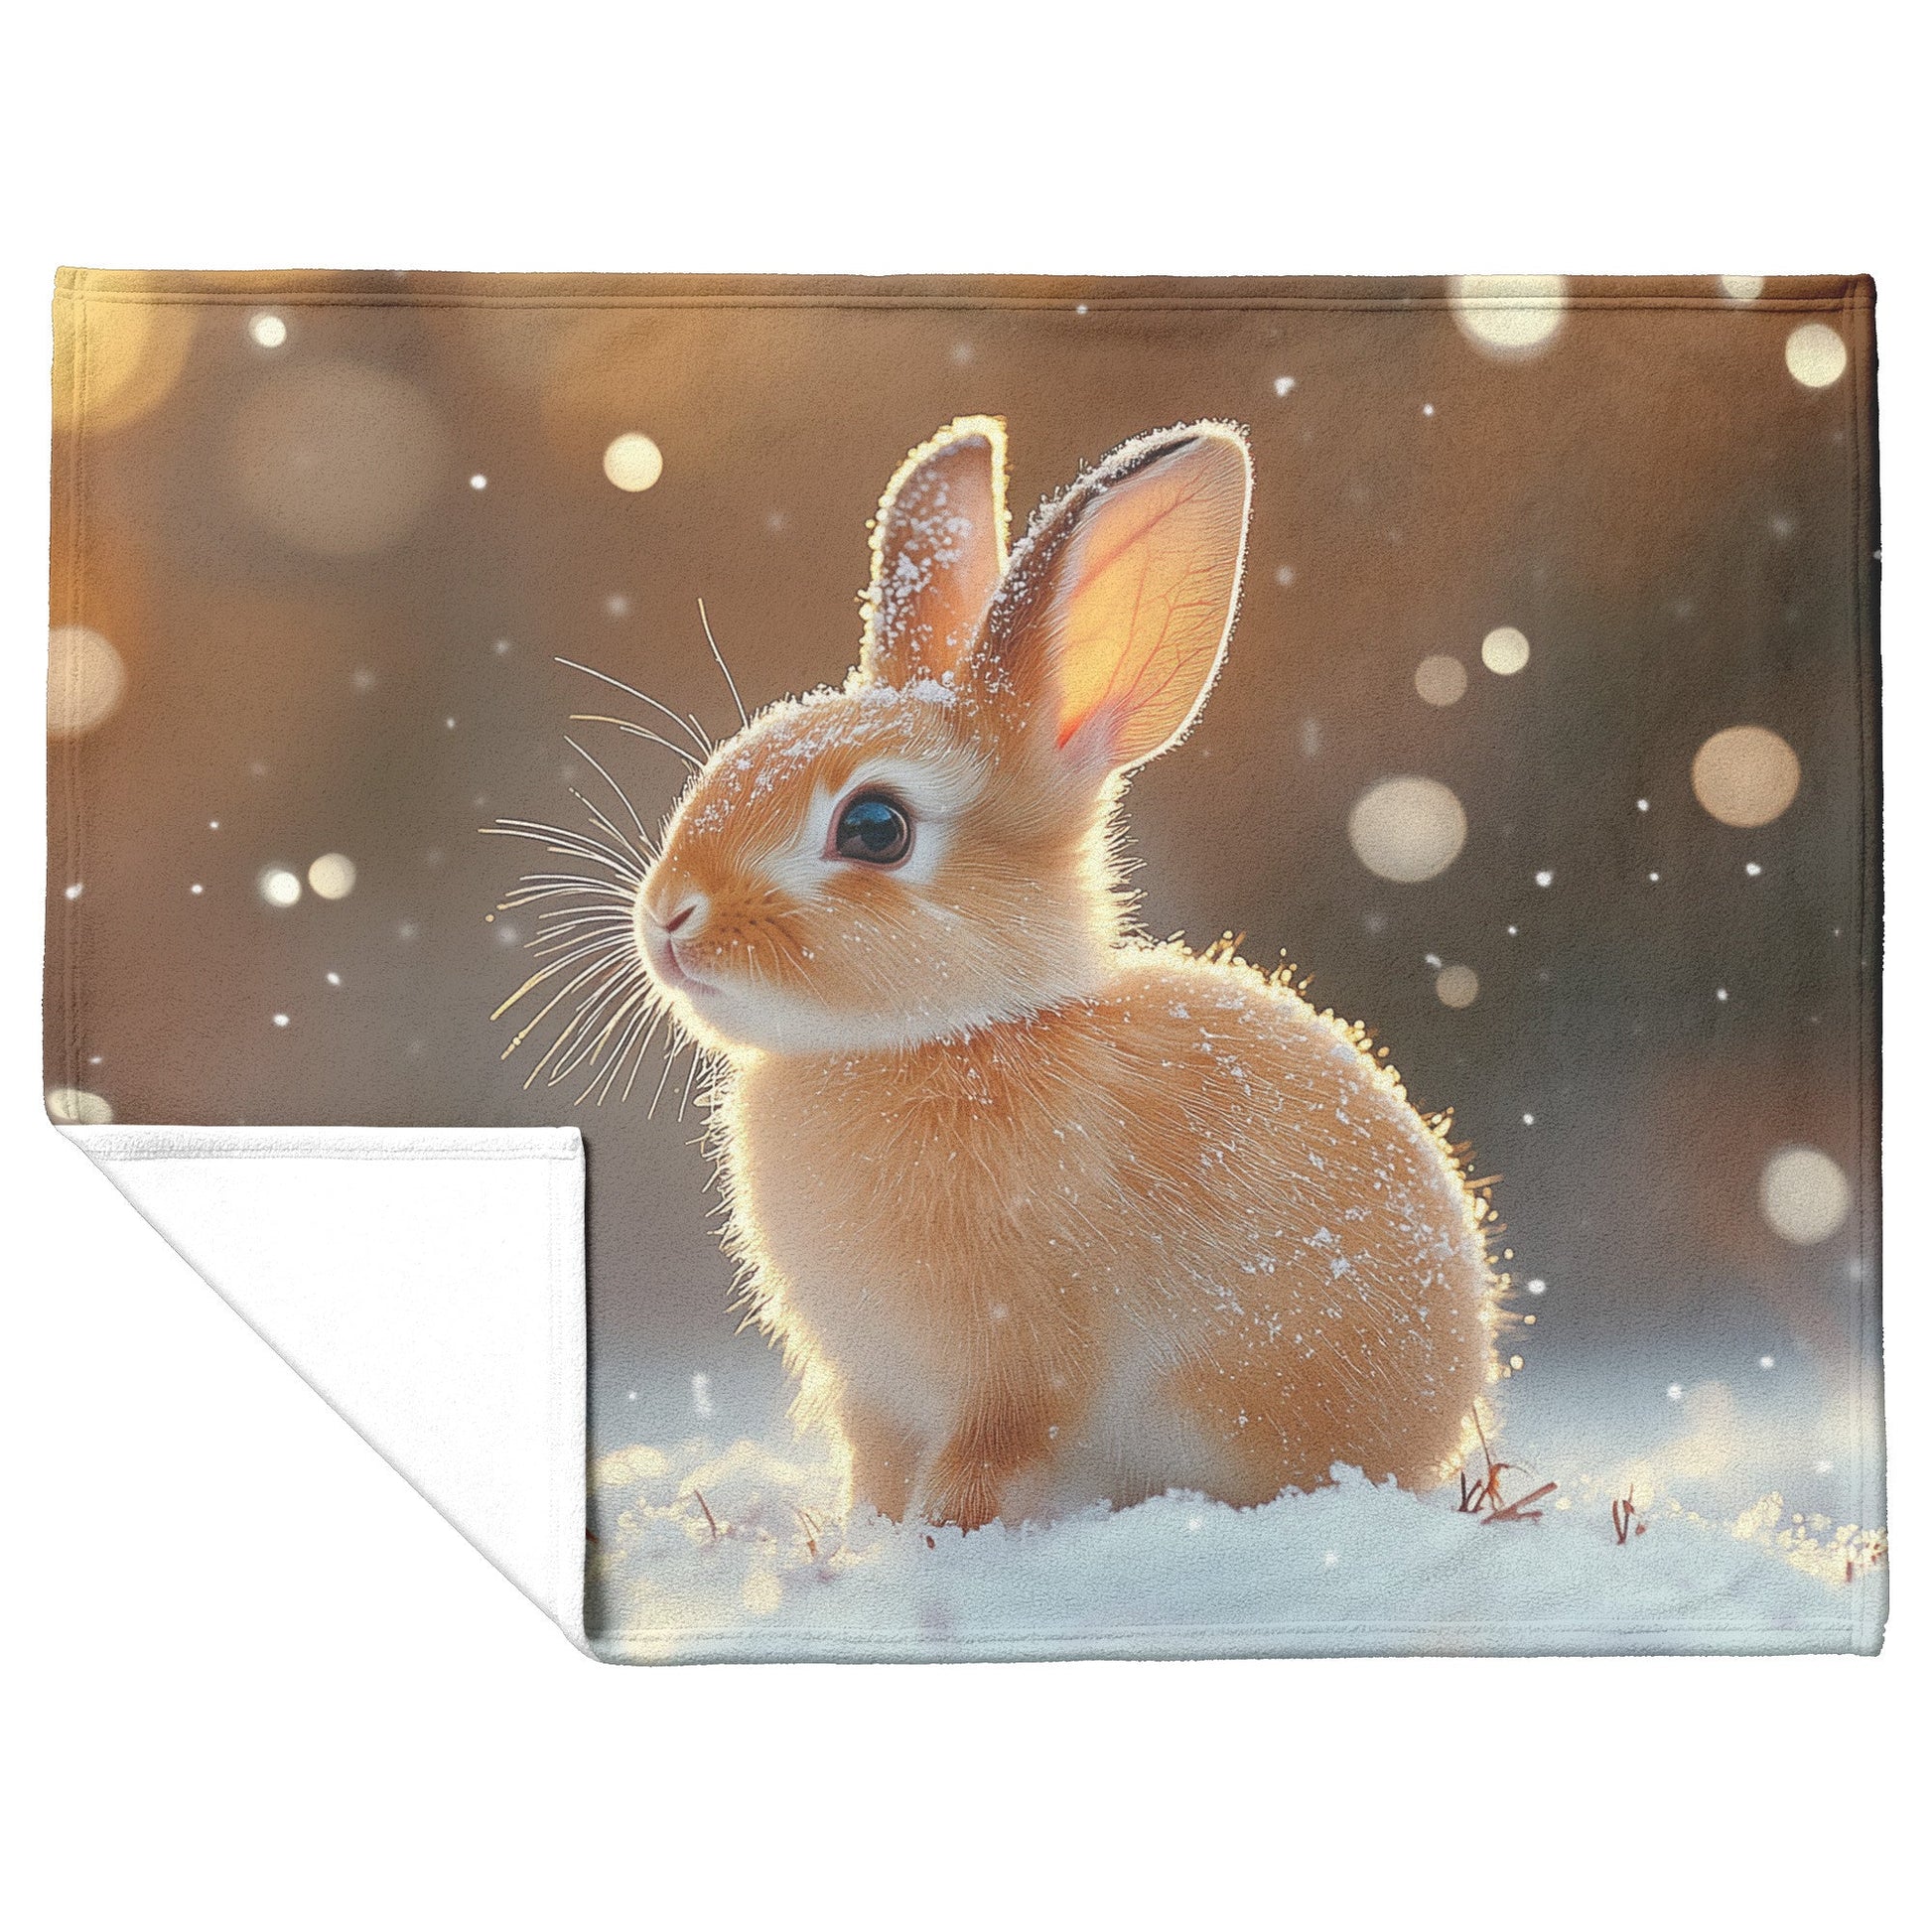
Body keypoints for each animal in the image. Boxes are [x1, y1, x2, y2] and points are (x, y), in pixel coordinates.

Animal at [630, 416, 1502, 1529]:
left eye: (873, 828)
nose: (668, 920)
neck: (948, 1033)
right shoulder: (875, 1393)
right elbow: (879, 1468)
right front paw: (864, 1538)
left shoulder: (1021, 1368)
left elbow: (991, 1462)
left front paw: (939, 1540)